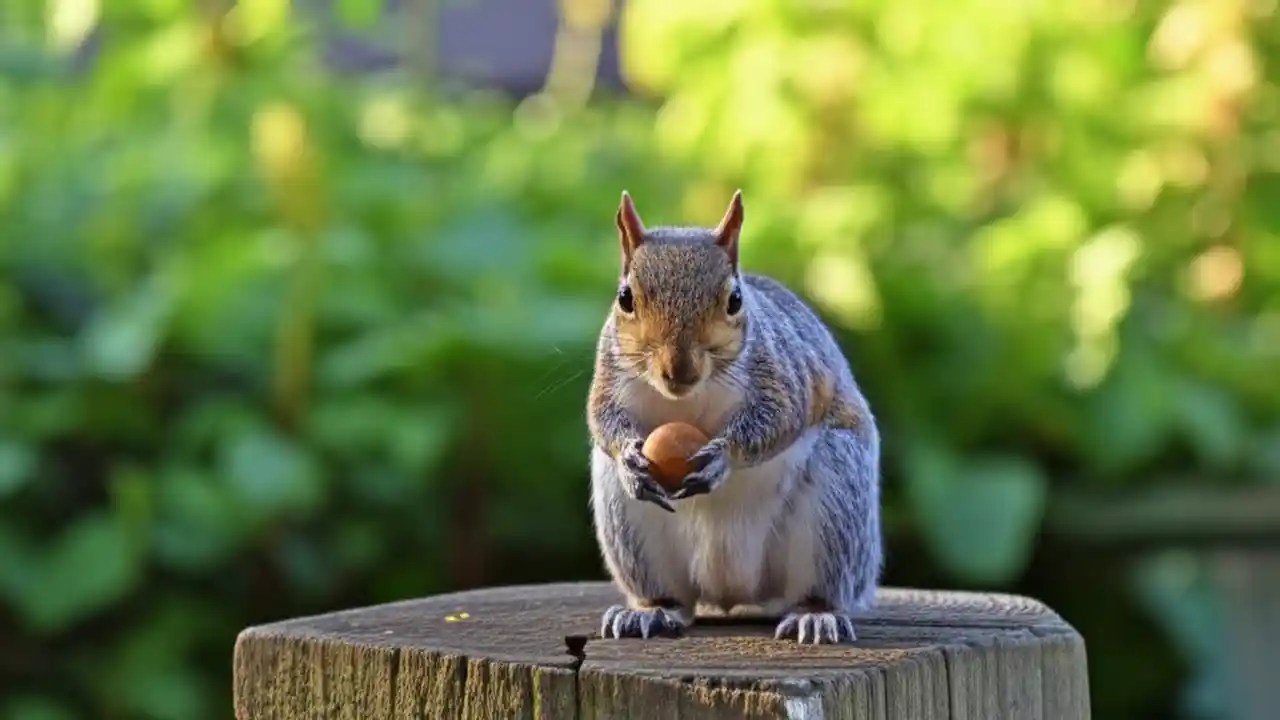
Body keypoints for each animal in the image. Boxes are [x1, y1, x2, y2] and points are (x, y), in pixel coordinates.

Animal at [587, 190, 883, 645]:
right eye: (625, 298)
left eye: (735, 300)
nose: (679, 371)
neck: (688, 395)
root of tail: (732, 591)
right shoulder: (609, 374)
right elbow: (601, 419)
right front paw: (629, 459)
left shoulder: (782, 372)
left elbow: (779, 418)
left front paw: (722, 456)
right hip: (630, 531)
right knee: (672, 595)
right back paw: (652, 612)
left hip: (837, 504)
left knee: (822, 586)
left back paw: (817, 615)